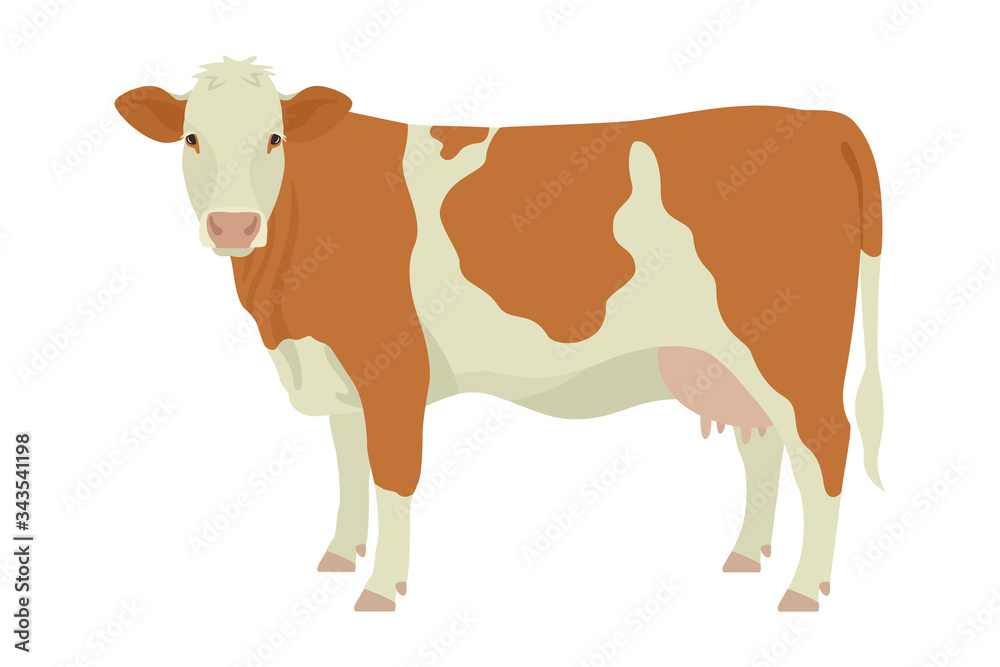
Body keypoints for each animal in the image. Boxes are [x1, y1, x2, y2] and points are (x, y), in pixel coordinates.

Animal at [116, 56, 884, 612]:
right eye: (191, 137)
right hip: (729, 357)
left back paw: (803, 590)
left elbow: (392, 472)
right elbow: (349, 462)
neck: (283, 313)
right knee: (764, 442)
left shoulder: (390, 363)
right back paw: (747, 556)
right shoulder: (337, 367)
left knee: (823, 443)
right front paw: (339, 553)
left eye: (274, 137)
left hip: (792, 349)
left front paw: (380, 589)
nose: (233, 225)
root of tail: (823, 119)